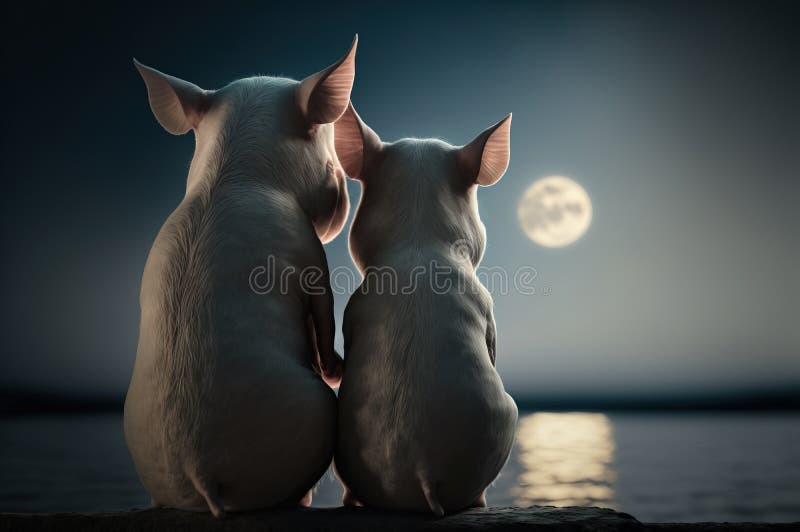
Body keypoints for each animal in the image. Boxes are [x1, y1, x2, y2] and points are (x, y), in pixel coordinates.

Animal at [123, 37, 357, 518]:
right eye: (324, 144)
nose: (343, 196)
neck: (228, 177)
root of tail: (202, 472)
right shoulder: (307, 255)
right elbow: (324, 316)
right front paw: (336, 369)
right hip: (310, 415)